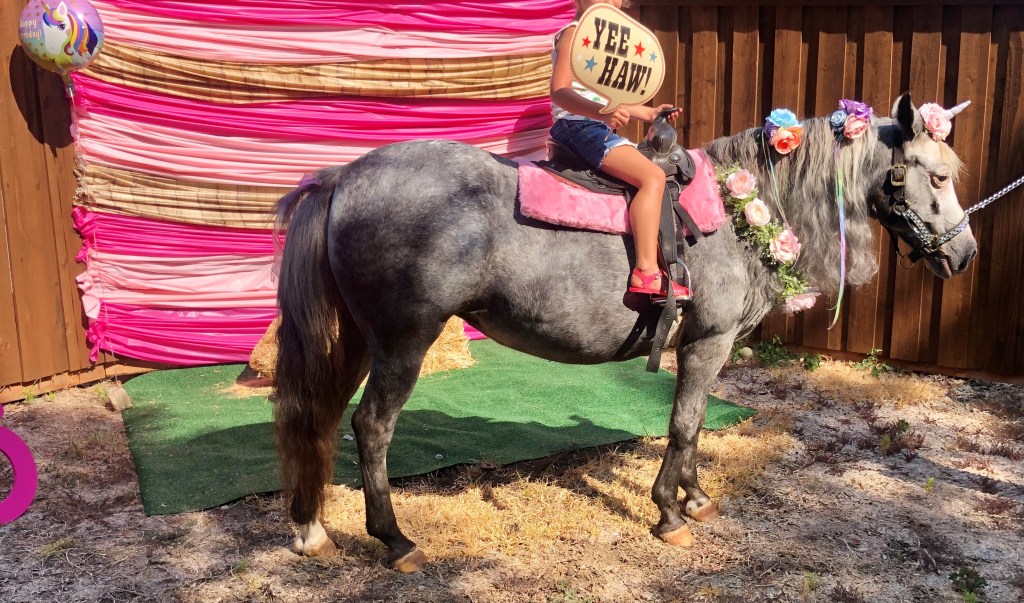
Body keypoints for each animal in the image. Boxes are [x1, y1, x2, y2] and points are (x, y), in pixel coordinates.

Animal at [272, 93, 977, 572]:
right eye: (938, 175)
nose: (965, 253)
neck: (740, 215)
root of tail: (343, 177)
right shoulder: (708, 342)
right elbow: (685, 424)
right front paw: (669, 512)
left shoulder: (706, 348)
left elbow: (694, 426)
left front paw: (696, 496)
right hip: (404, 340)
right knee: (371, 427)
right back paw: (394, 539)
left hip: (356, 341)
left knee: (320, 419)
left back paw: (311, 527)